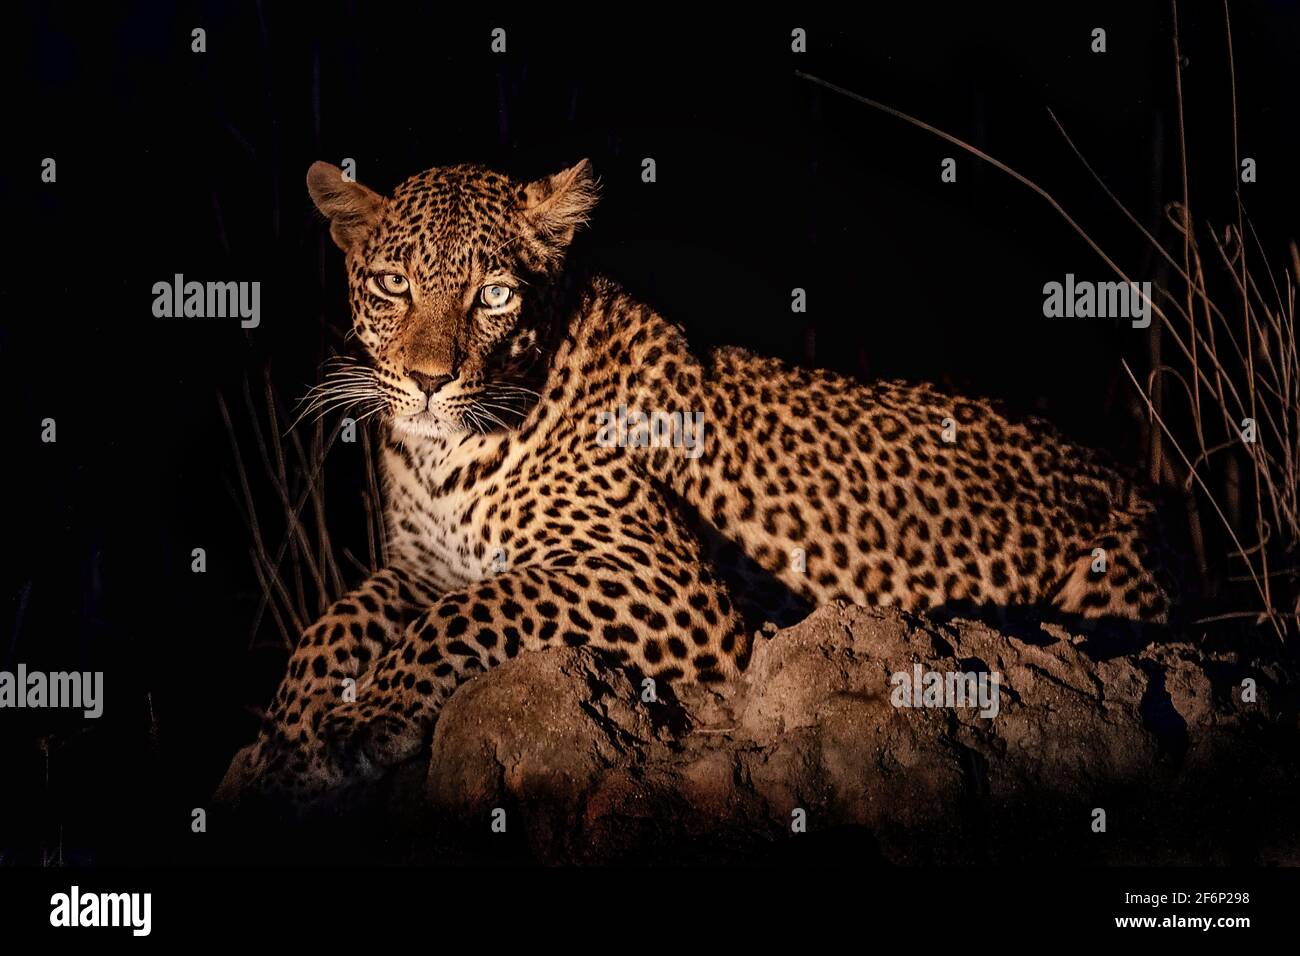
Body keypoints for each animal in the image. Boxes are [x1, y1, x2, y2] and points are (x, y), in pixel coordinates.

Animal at [215, 157, 1174, 810]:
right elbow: (332, 625)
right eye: (391, 284)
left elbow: (465, 612)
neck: (442, 455)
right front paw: (277, 745)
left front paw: (357, 726)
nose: (426, 380)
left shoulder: (664, 583)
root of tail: (1135, 487)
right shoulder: (423, 562)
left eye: (492, 295)